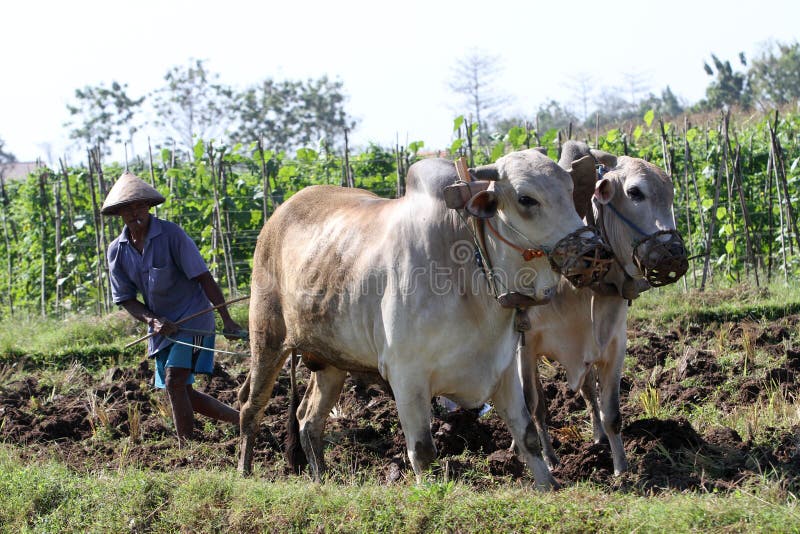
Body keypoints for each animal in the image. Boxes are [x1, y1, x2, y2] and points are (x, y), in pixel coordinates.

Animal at [237, 149, 611, 490]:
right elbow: (423, 452)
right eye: (526, 198)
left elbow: (528, 435)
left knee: (308, 420)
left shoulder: (503, 368)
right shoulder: (407, 377)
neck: (469, 266)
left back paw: (321, 479)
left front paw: (549, 486)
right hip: (267, 340)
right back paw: (244, 471)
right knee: (250, 407)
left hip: (330, 362)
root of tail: (276, 217)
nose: (592, 251)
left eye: (568, 188)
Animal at [518, 141, 688, 476]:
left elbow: (611, 412)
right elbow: (536, 407)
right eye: (635, 192)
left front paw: (621, 467)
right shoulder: (525, 344)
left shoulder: (613, 344)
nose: (673, 252)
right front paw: (549, 459)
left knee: (587, 391)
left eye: (671, 194)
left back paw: (597, 437)